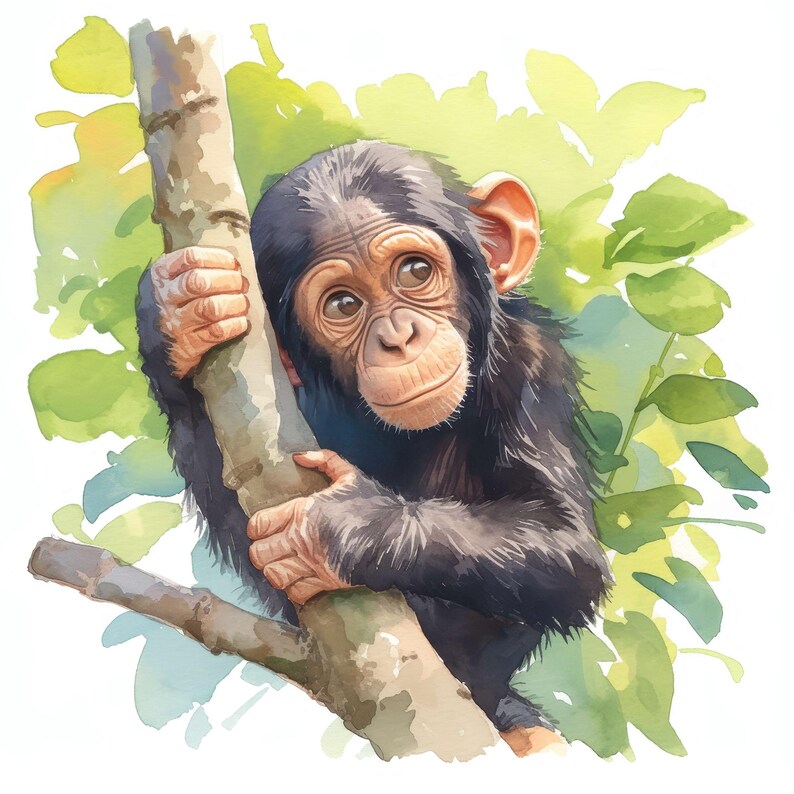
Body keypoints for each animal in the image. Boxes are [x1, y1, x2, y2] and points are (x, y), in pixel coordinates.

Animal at [137, 140, 610, 756]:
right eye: (343, 304)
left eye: (414, 271)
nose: (398, 338)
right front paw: (177, 312)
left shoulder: (531, 362)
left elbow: (566, 546)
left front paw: (341, 526)